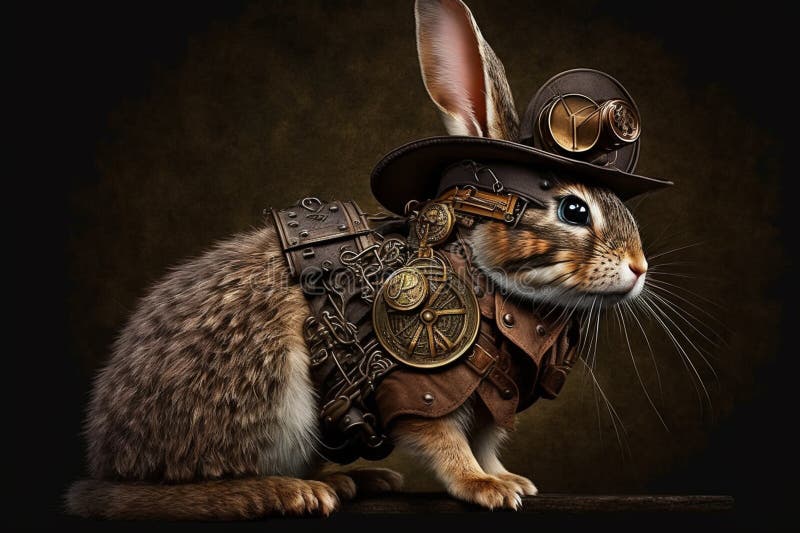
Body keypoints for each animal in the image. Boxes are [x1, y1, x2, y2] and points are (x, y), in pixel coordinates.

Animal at [66, 0, 650, 519]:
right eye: (573, 209)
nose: (639, 267)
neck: (485, 279)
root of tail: (112, 457)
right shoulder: (419, 390)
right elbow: (445, 443)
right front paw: (485, 487)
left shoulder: (491, 402)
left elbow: (485, 441)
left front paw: (508, 478)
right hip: (266, 395)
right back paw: (295, 493)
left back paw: (356, 479)